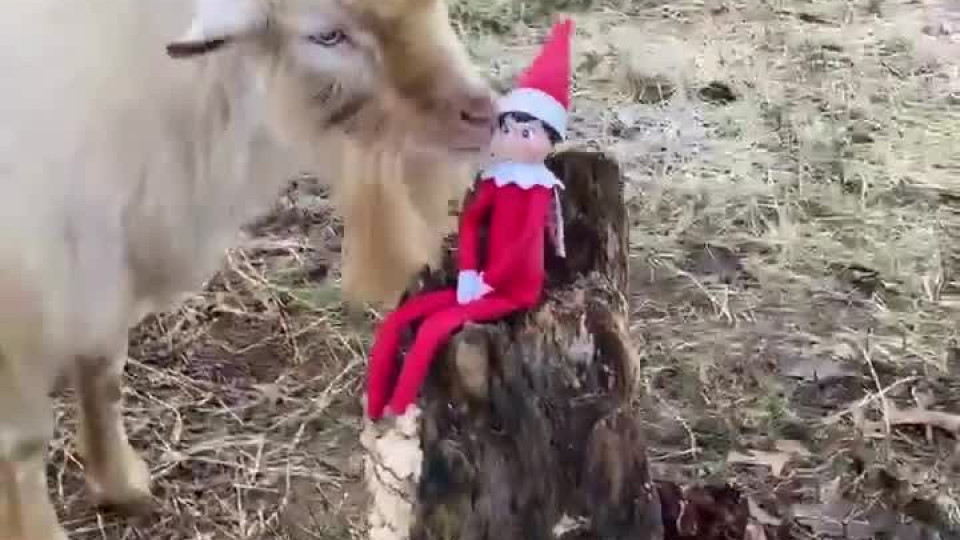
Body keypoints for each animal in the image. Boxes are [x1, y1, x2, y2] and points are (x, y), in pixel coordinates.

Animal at [0, 0, 495, 538]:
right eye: (328, 35)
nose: (483, 114)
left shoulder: (103, 262)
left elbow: (103, 370)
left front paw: (121, 483)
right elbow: (22, 441)